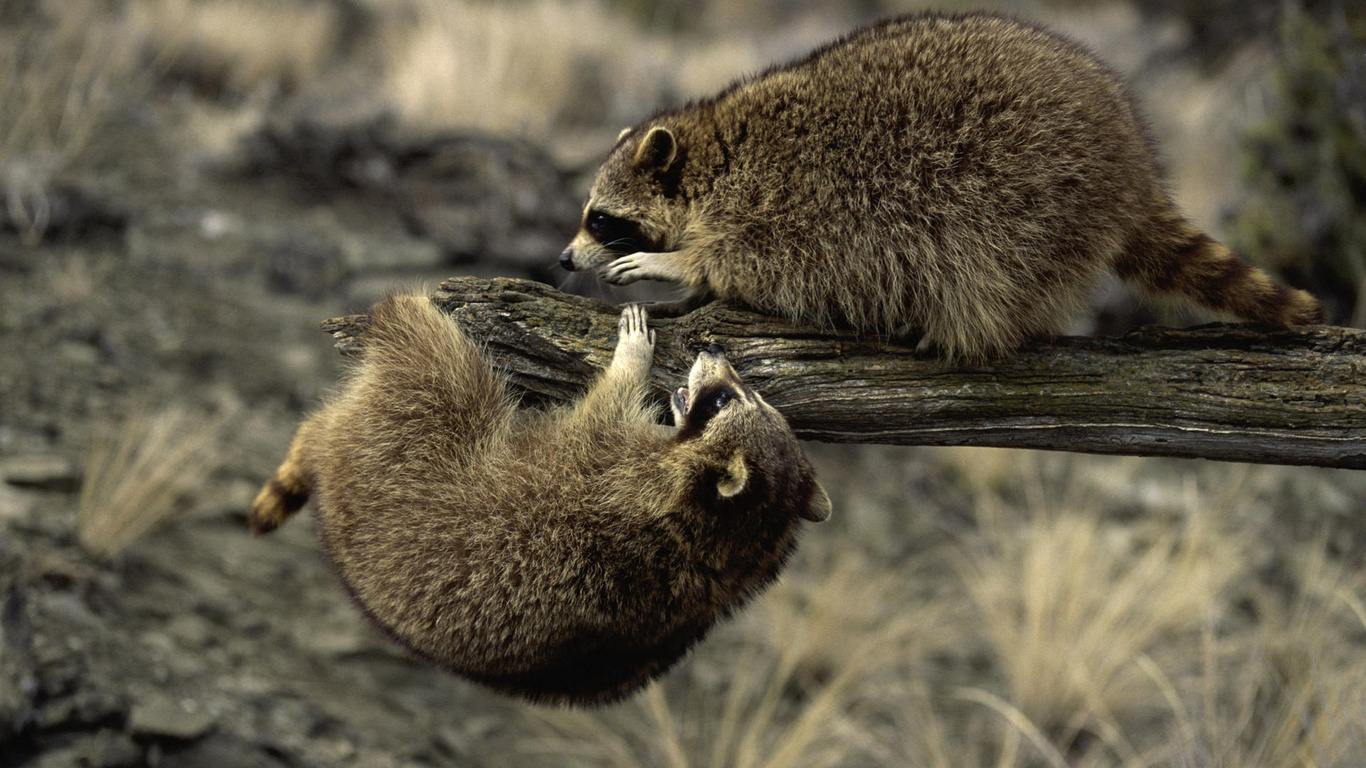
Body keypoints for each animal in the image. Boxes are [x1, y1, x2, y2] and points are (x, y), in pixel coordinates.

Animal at [249, 297, 830, 705]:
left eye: (723, 400)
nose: (714, 352)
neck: (735, 537)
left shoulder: (614, 465)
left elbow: (605, 405)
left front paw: (631, 361)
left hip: (400, 447)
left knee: (441, 369)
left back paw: (406, 315)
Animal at [560, 11, 1324, 361]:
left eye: (599, 219)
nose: (564, 258)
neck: (711, 154)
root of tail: (1130, 162)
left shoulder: (786, 208)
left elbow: (755, 262)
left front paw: (678, 264)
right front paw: (688, 288)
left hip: (1029, 194)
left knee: (991, 266)